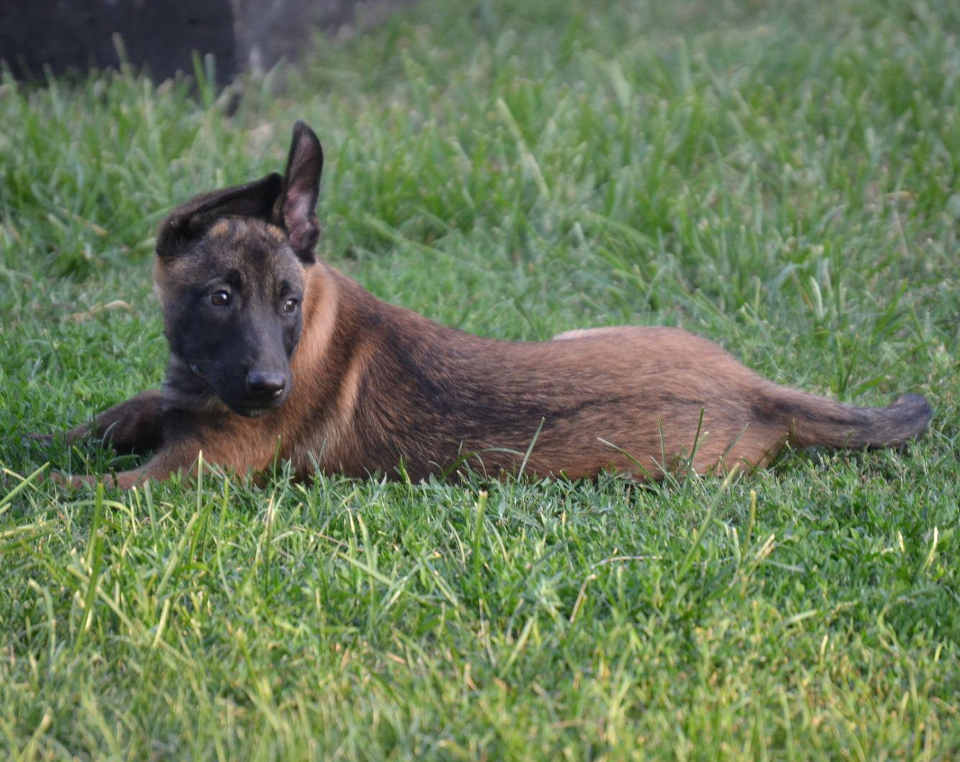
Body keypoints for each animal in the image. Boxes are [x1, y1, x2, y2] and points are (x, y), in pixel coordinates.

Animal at [41, 119, 932, 486]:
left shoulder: (190, 474)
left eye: (288, 302)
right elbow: (116, 416)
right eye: (222, 296)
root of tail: (758, 390)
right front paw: (57, 434)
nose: (269, 390)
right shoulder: (176, 407)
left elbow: (75, 492)